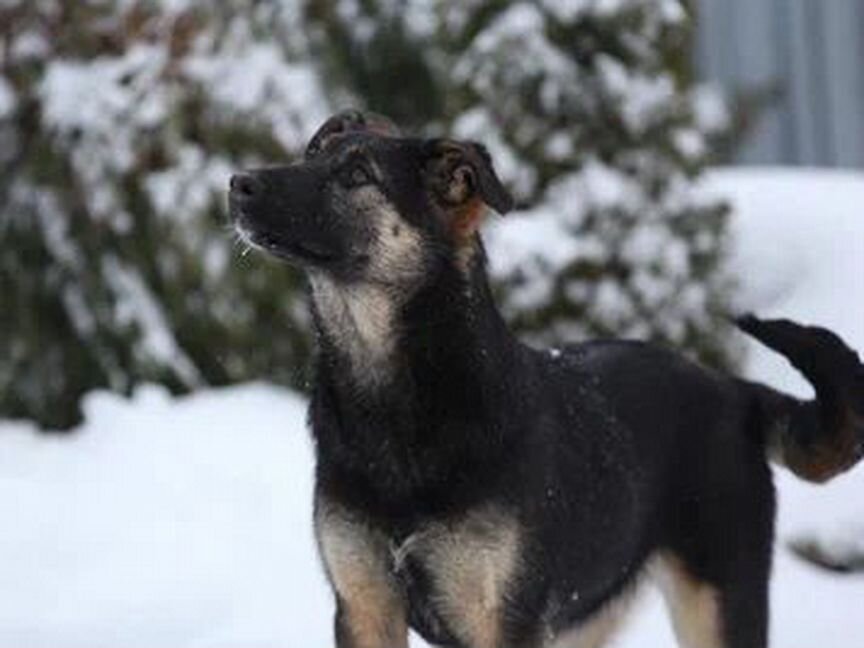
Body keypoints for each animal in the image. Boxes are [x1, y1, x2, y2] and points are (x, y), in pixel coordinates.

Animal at [230, 111, 864, 648]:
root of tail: (734, 391)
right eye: (311, 153)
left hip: (717, 601)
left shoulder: (502, 618)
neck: (396, 395)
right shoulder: (364, 606)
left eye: (357, 175)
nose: (237, 183)